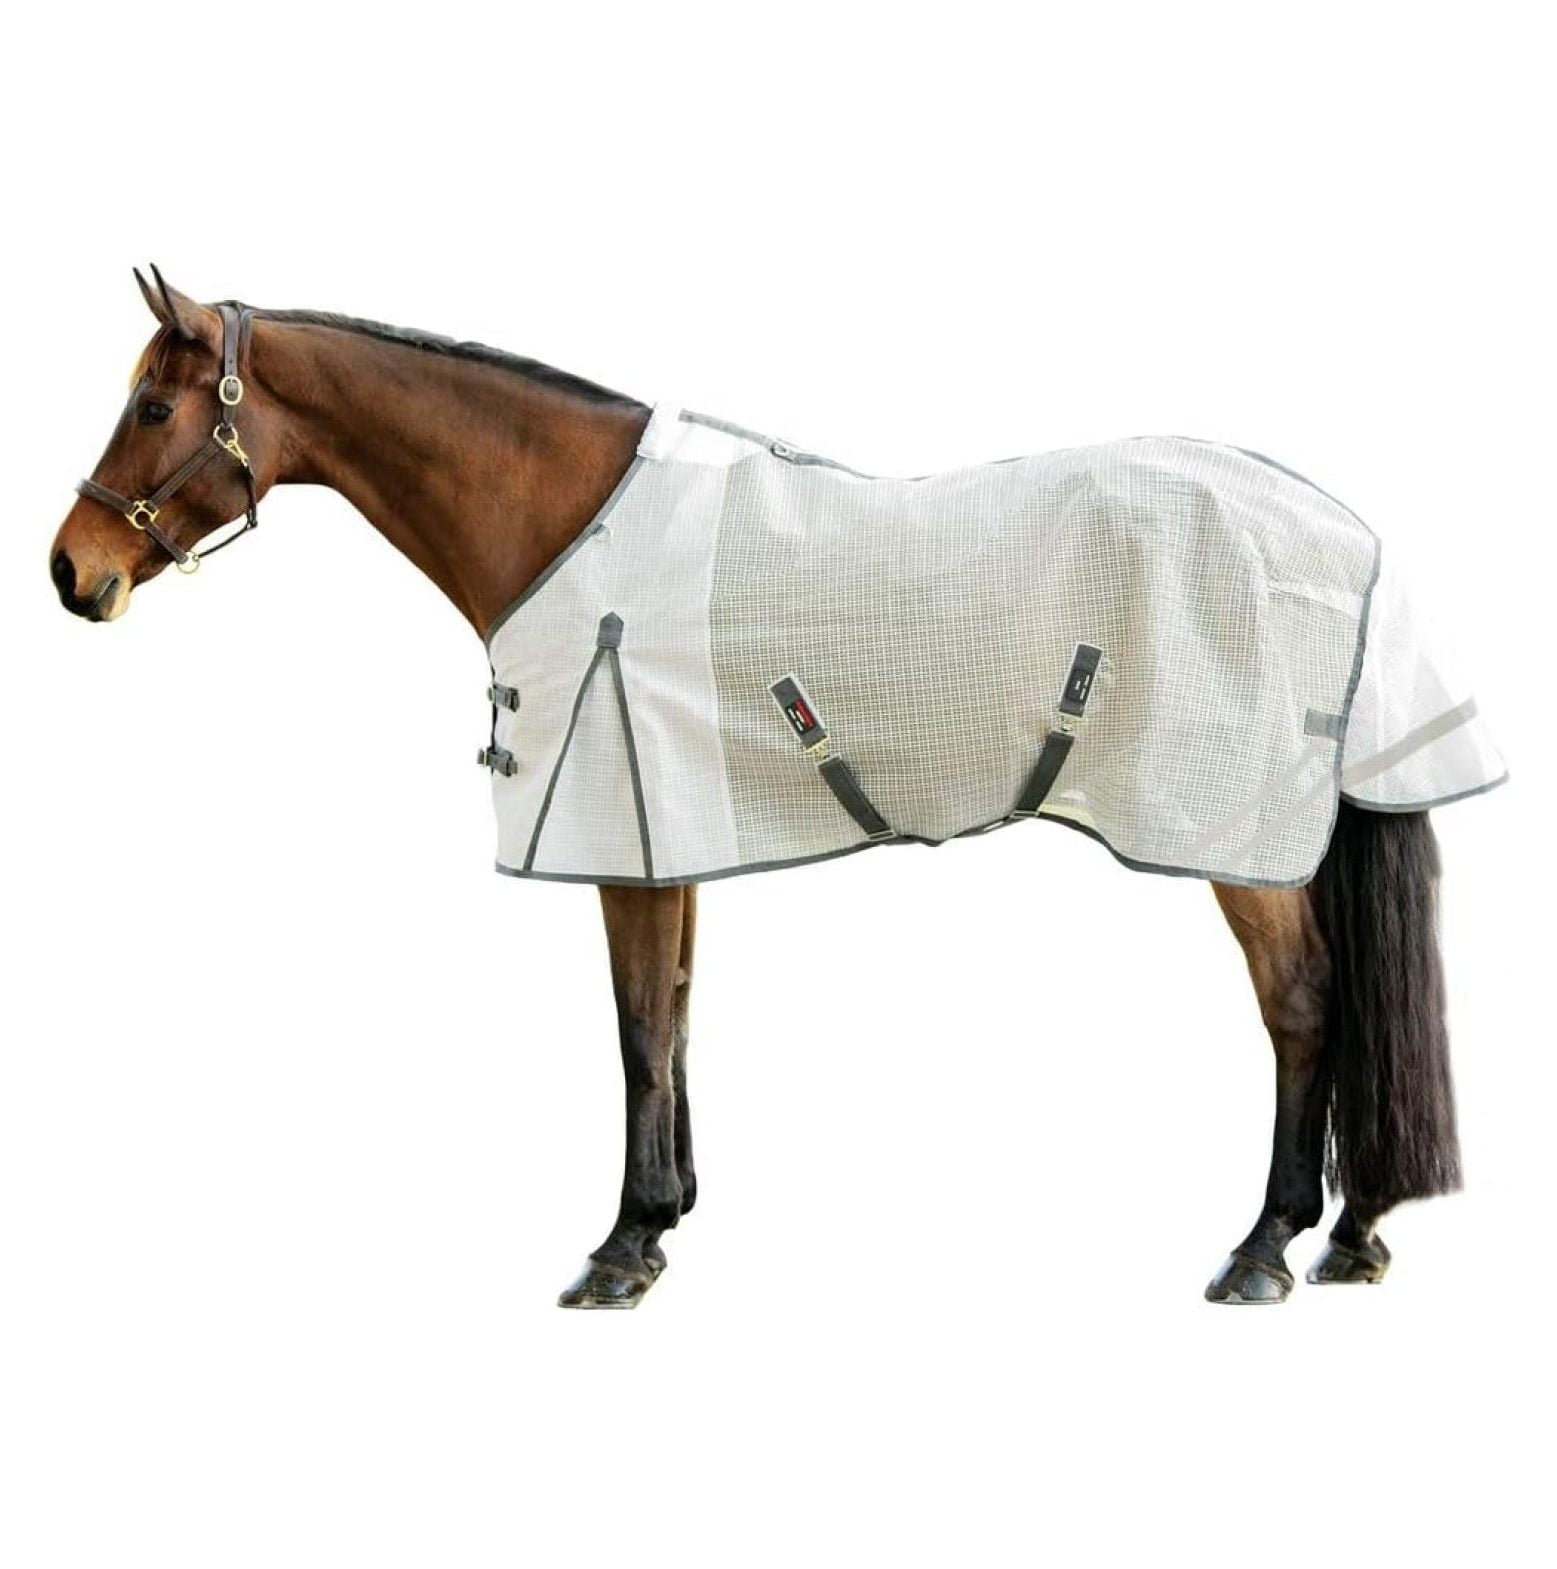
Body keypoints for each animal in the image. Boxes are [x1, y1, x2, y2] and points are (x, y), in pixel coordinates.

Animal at [49, 267, 1476, 1308]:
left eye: (155, 409)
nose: (71, 572)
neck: (571, 521)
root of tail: (1341, 532)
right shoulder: (667, 838)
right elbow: (675, 1015)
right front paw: (668, 1214)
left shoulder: (617, 833)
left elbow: (636, 1026)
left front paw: (621, 1250)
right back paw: (1351, 1237)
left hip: (1233, 840)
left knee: (1305, 1008)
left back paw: (1264, 1249)